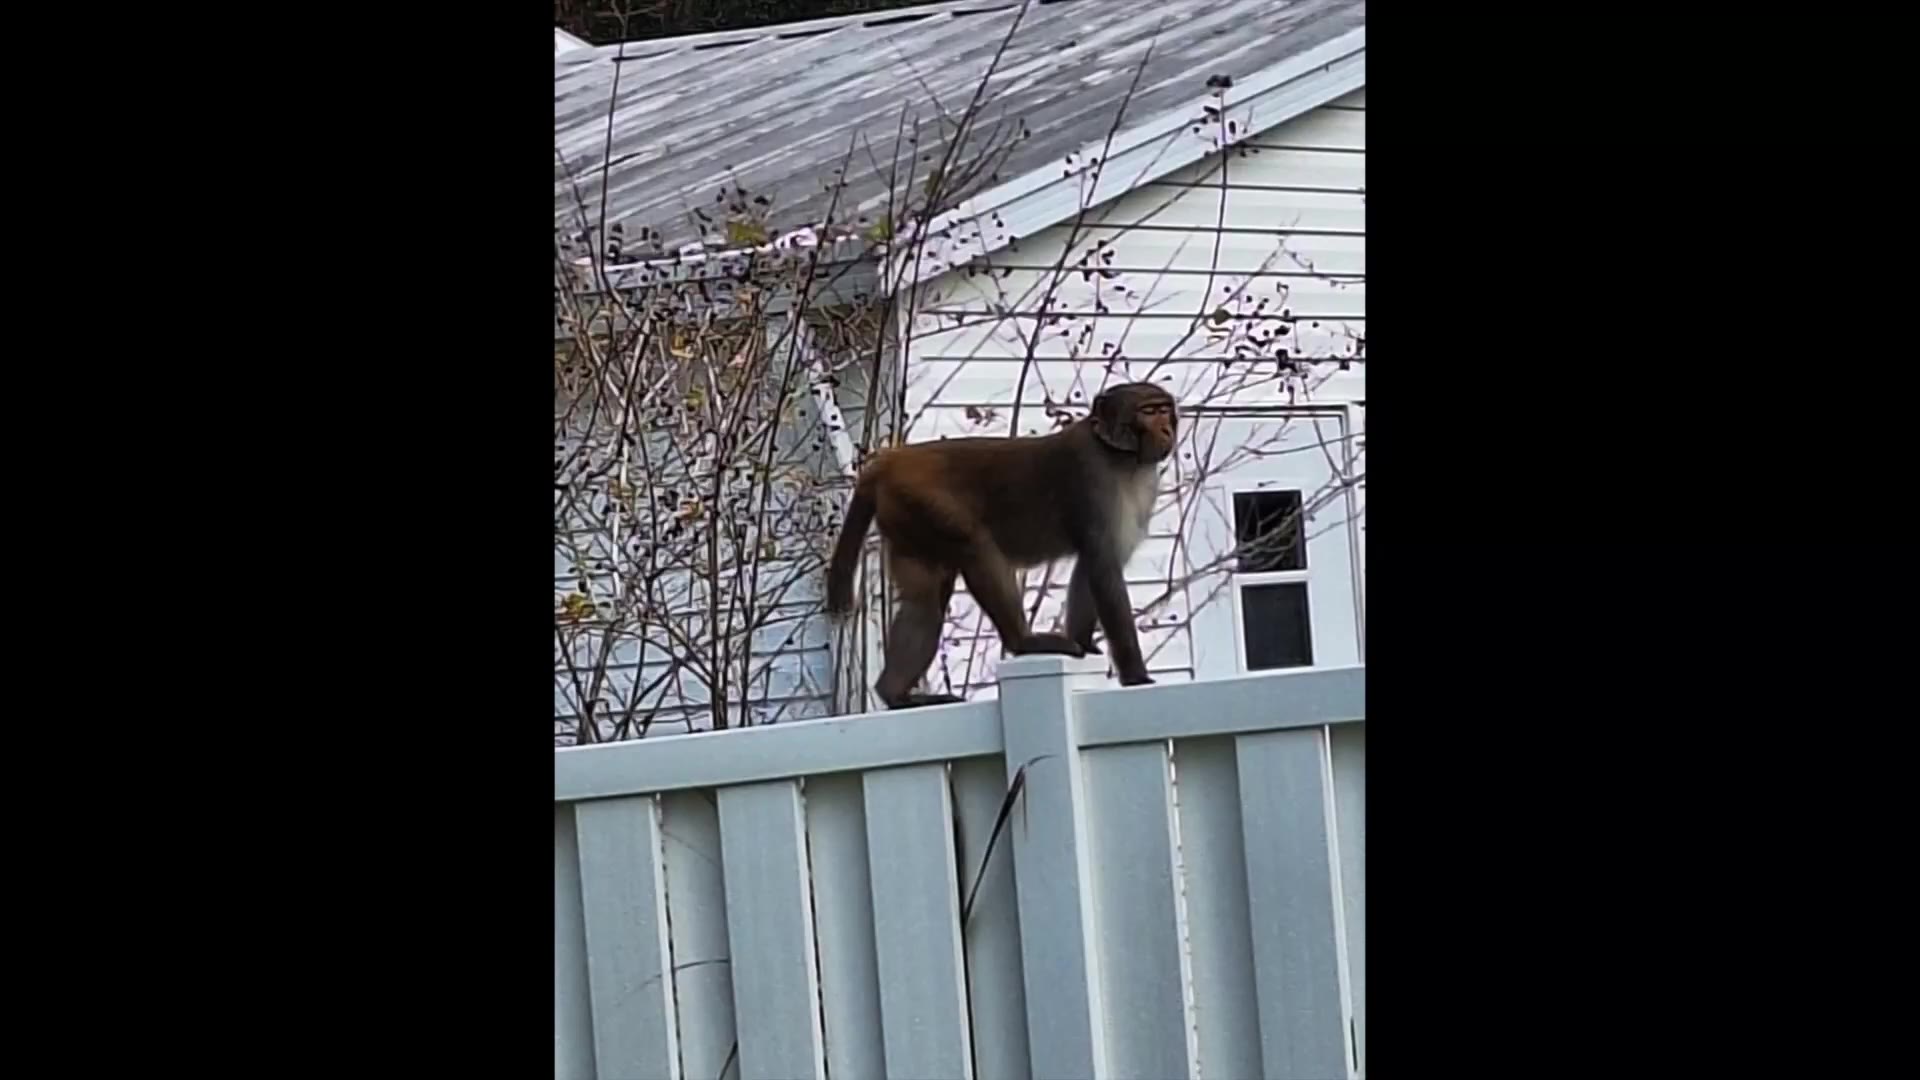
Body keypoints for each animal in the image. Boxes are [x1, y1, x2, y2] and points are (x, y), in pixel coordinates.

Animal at [826, 381, 1177, 708]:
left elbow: (1094, 566)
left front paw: (1084, 641)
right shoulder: (1091, 475)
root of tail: (890, 462)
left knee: (923, 602)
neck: (1120, 457)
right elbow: (1103, 567)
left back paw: (896, 695)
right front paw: (1136, 676)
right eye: (1148, 411)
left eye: (1163, 409)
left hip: (905, 517)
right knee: (975, 545)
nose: (1167, 429)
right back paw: (1022, 641)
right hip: (920, 497)